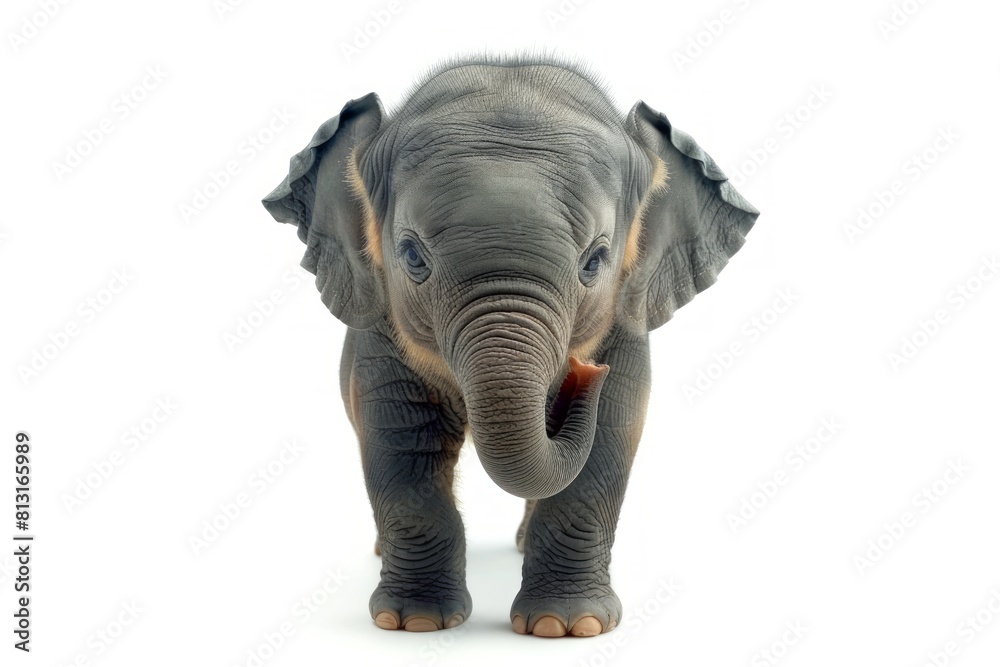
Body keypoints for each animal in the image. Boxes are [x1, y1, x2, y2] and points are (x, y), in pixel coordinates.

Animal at [262, 56, 758, 637]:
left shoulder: (627, 322)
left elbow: (608, 440)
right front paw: (413, 623)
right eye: (411, 255)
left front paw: (565, 627)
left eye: (596, 260)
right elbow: (401, 442)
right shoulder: (379, 328)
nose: (586, 370)